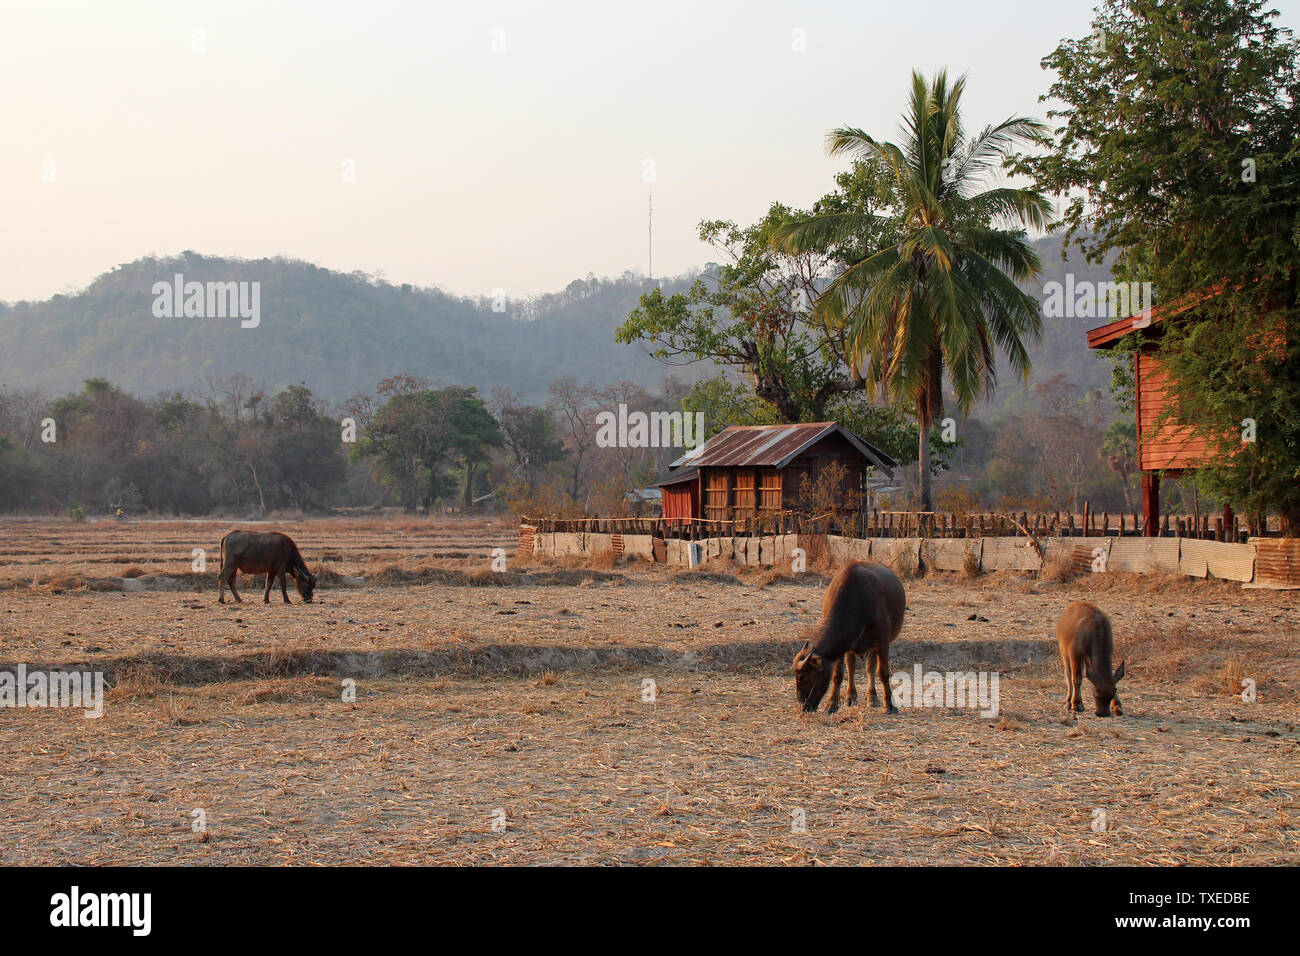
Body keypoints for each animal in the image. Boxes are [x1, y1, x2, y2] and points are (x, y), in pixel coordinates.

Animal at [793, 560, 906, 714]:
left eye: (801, 677)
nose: (803, 707)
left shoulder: (882, 642)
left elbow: (883, 672)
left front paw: (889, 705)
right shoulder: (841, 646)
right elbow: (838, 674)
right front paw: (831, 704)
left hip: (872, 645)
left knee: (870, 668)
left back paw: (872, 697)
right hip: (852, 647)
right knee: (852, 667)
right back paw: (851, 696)